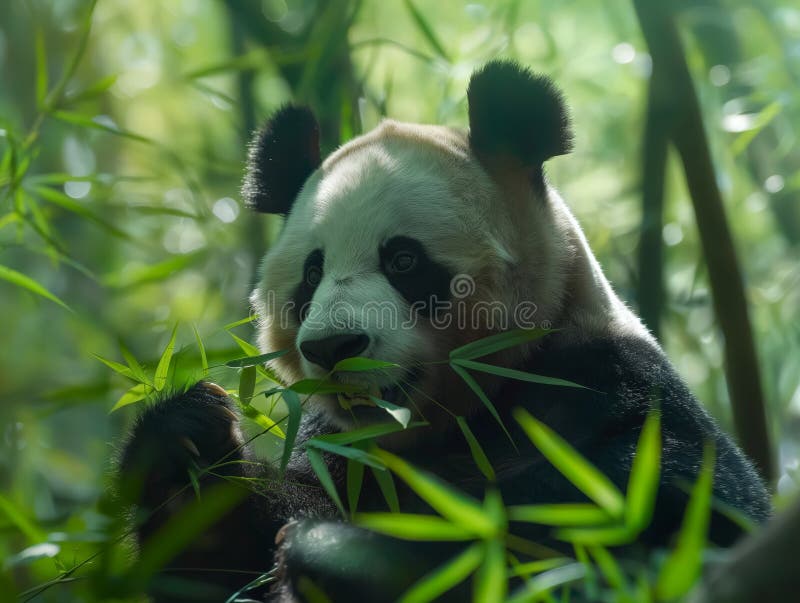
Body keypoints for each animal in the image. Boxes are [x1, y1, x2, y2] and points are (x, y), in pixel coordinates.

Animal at [118, 61, 770, 602]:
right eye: (312, 274)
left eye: (403, 260)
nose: (333, 348)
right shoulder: (338, 448)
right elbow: (215, 560)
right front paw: (185, 447)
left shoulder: (610, 388)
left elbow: (641, 524)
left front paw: (343, 558)